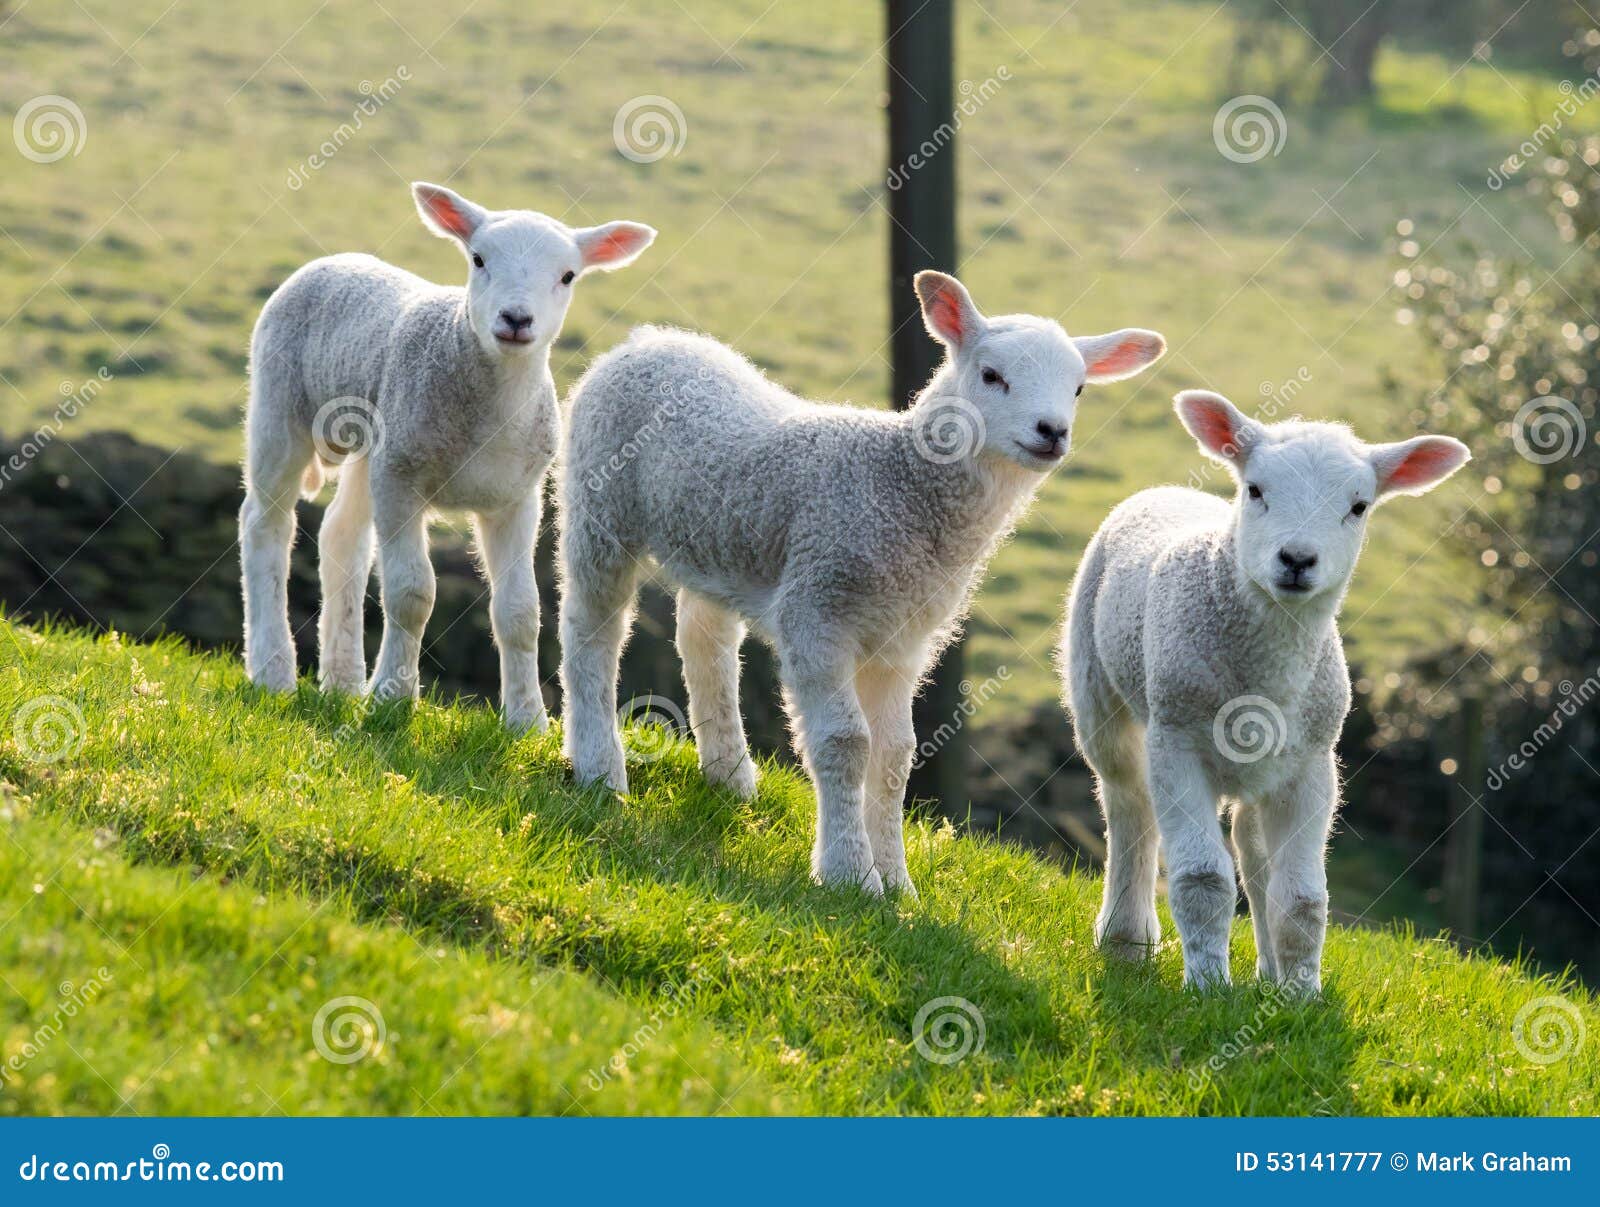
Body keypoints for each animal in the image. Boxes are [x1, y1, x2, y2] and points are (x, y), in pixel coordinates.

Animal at [239, 182, 655, 730]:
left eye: (567, 276)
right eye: (478, 259)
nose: (516, 319)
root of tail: (333, 260)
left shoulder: (516, 497)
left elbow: (520, 611)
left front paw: (527, 721)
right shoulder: (402, 478)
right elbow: (411, 593)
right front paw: (392, 698)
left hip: (374, 446)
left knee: (341, 536)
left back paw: (342, 681)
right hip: (281, 405)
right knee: (265, 524)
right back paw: (273, 670)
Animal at [558, 271, 1165, 896]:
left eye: (1078, 389)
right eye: (991, 375)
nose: (1052, 432)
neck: (899, 483)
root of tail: (646, 340)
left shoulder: (902, 638)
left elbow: (895, 756)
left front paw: (896, 883)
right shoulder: (817, 609)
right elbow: (847, 743)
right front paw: (849, 874)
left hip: (716, 543)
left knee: (705, 639)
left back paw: (729, 775)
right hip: (599, 502)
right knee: (591, 629)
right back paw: (598, 767)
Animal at [1061, 389, 1469, 992]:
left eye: (1359, 507)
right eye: (1255, 489)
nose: (1297, 560)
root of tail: (1170, 490)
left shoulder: (1312, 765)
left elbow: (1302, 899)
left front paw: (1299, 993)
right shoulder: (1177, 740)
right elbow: (1203, 877)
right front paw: (1208, 987)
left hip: (1264, 766)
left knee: (1251, 849)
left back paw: (1269, 971)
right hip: (1098, 690)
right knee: (1129, 805)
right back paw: (1125, 939)